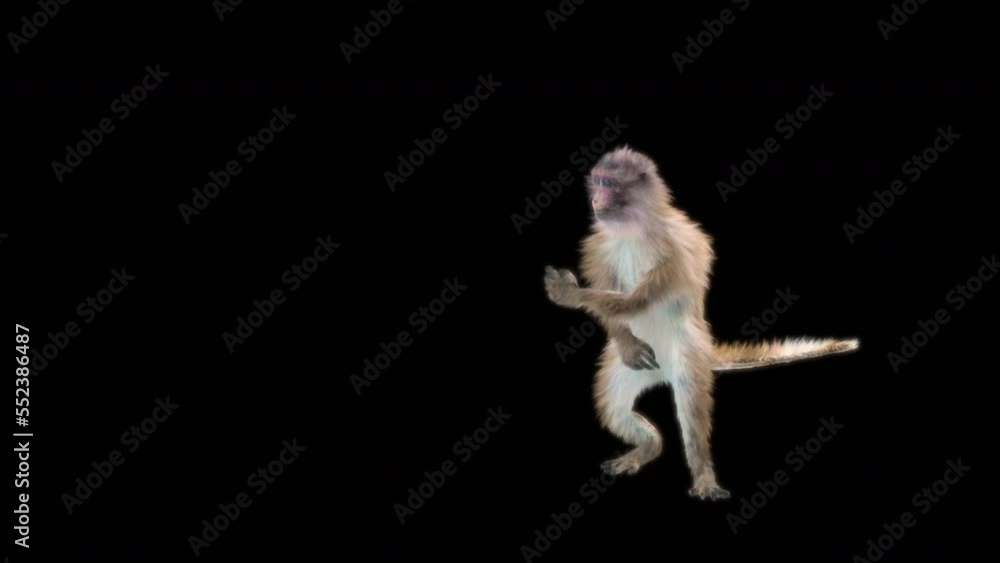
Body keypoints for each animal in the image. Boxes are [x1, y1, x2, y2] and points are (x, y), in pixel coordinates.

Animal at [544, 146, 858, 500]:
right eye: (597, 182)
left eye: (609, 183)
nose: (596, 199)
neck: (634, 226)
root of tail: (664, 373)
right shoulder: (598, 245)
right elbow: (617, 312)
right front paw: (623, 340)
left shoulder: (674, 249)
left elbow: (635, 302)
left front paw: (566, 293)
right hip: (630, 370)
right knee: (615, 410)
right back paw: (649, 446)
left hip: (689, 355)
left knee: (691, 410)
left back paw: (703, 474)